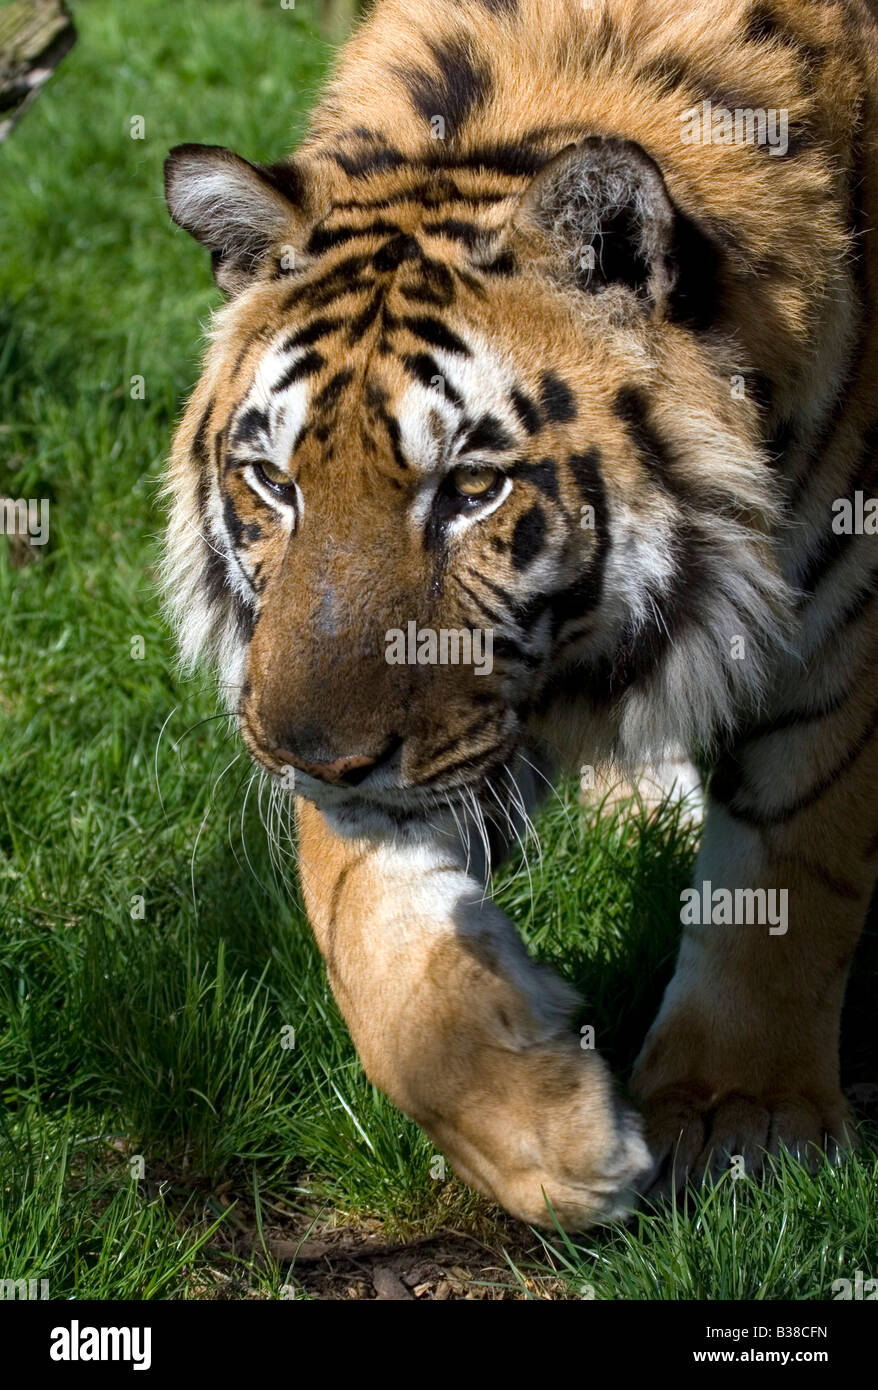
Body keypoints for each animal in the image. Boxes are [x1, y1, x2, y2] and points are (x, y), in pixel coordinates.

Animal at [163, 0, 878, 1229]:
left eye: (468, 489)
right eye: (274, 482)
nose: (308, 758)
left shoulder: (840, 622)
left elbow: (793, 868)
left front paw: (740, 1120)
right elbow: (366, 930)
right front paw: (544, 1132)